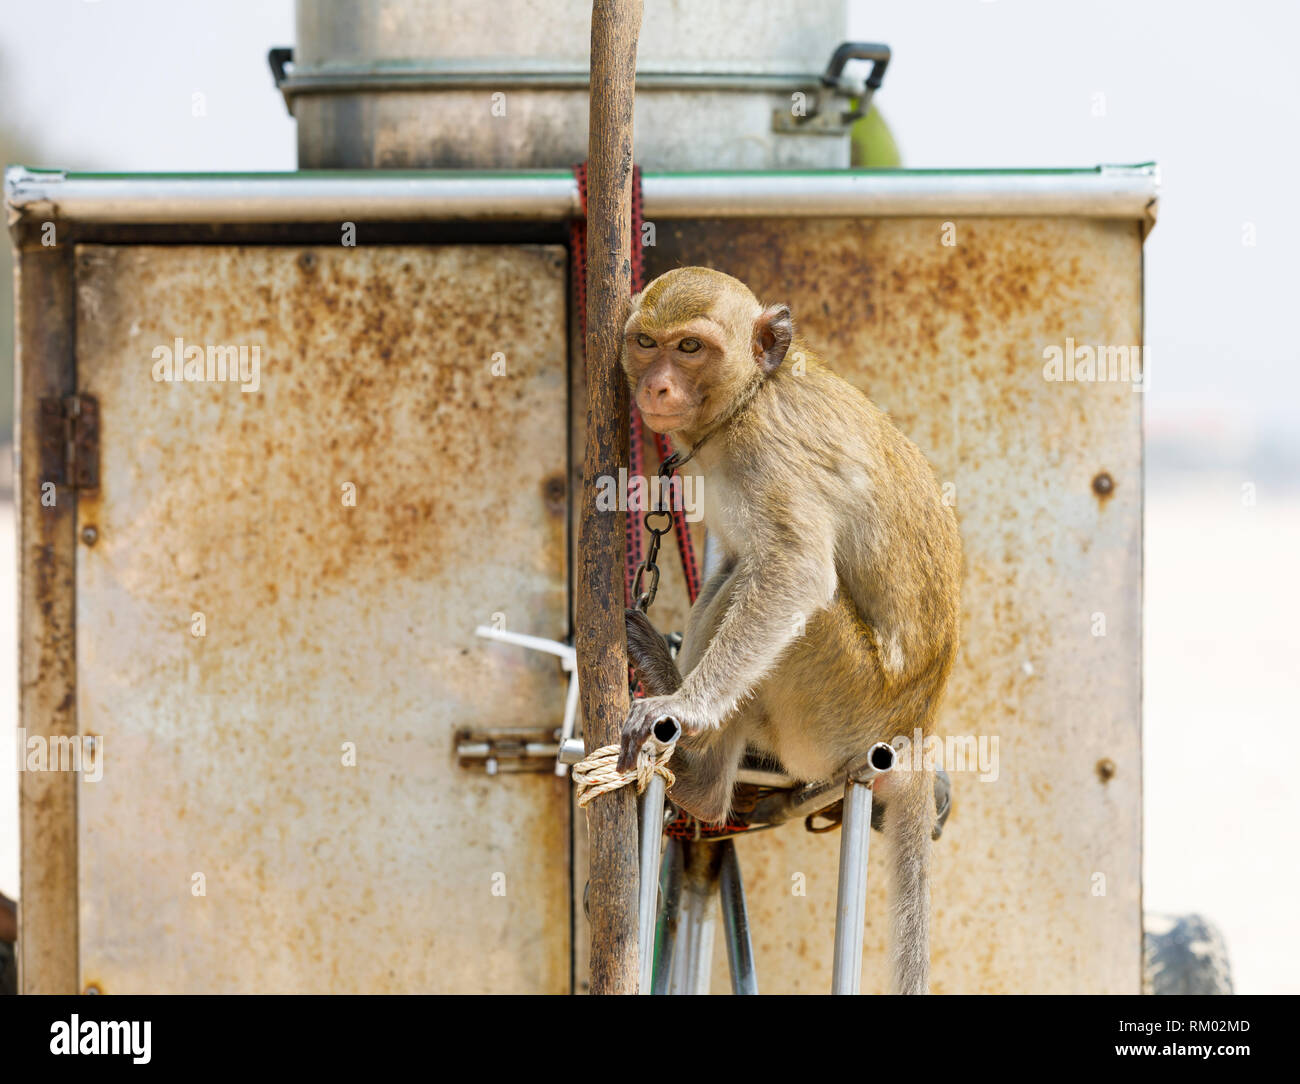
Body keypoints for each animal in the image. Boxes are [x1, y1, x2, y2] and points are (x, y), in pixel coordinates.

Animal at [615, 267, 961, 995]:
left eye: (691, 347)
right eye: (646, 342)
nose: (656, 387)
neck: (749, 398)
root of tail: (913, 732)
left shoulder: (767, 455)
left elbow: (794, 571)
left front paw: (685, 707)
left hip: (839, 710)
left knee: (789, 601)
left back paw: (701, 779)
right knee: (733, 572)